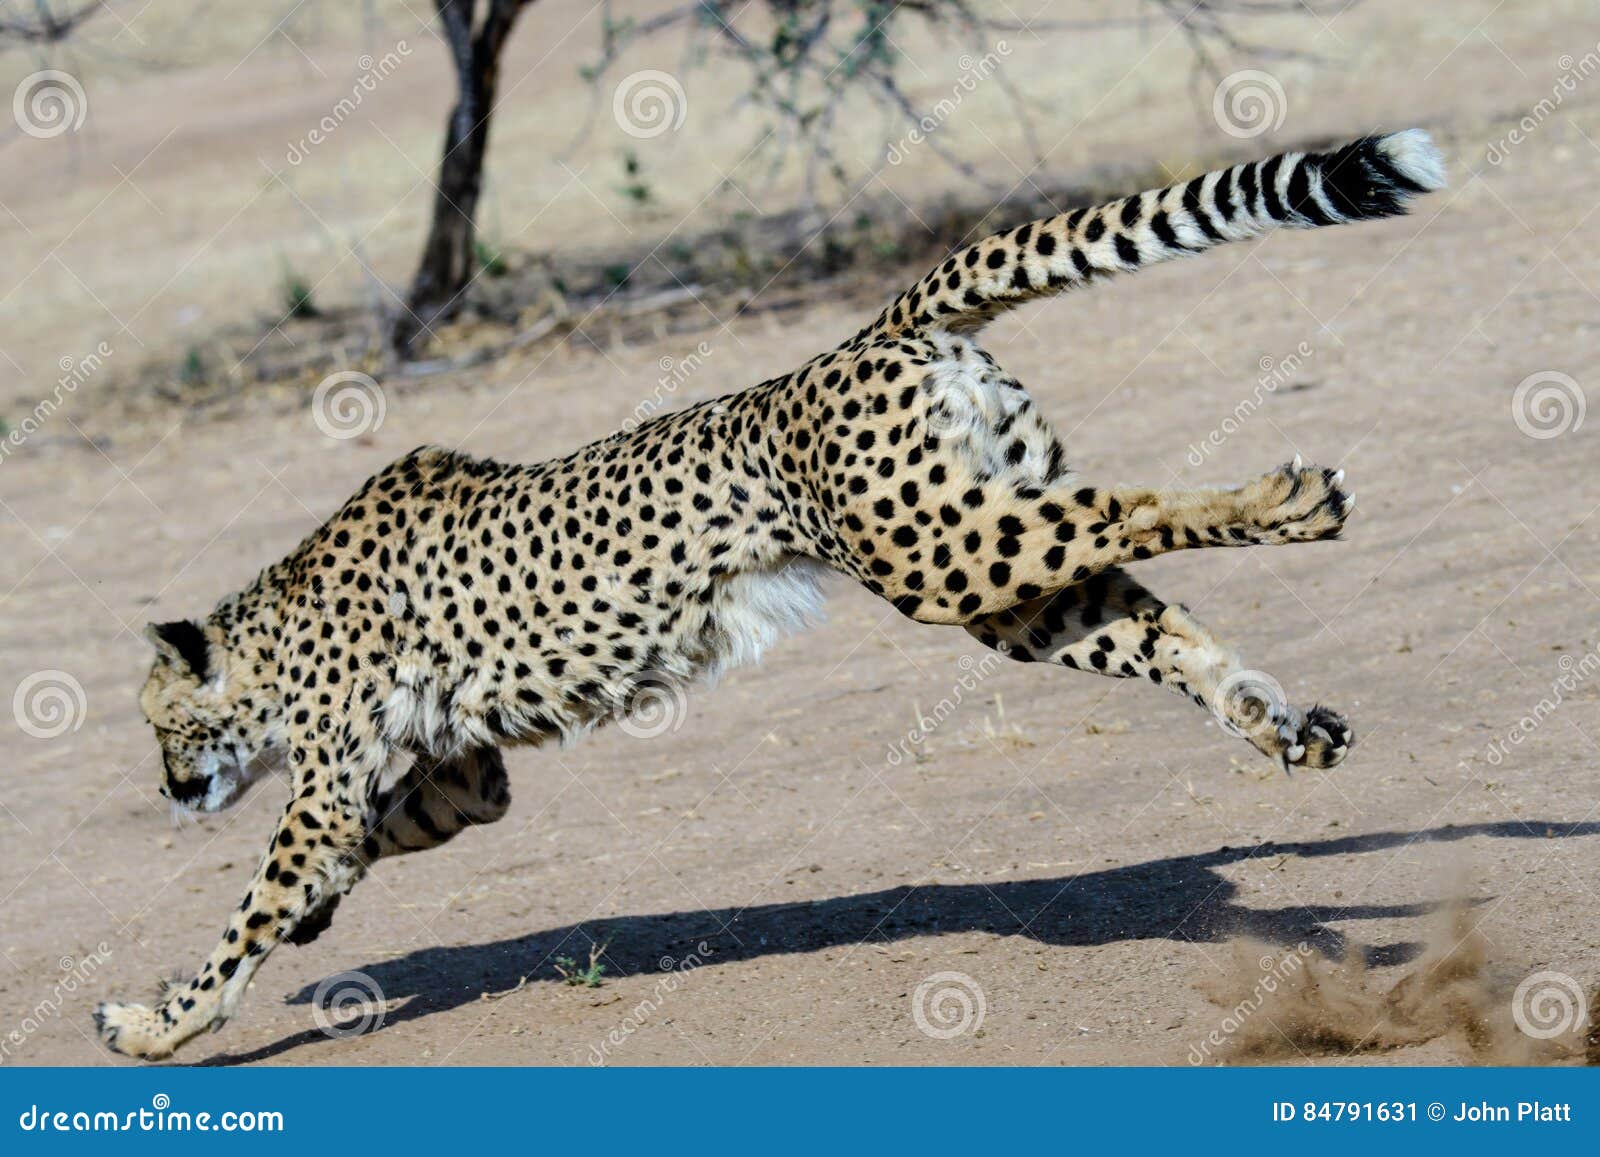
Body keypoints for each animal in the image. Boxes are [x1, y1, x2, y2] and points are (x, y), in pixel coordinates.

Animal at [95, 130, 1444, 1059]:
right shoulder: (466, 775)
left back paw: (1288, 501)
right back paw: (1278, 718)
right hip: (993, 575)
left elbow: (254, 908)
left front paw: (160, 1022)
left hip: (947, 552)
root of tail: (862, 335)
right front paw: (307, 930)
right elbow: (376, 837)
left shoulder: (328, 785)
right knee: (1137, 602)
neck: (270, 632)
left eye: (161, 726)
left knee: (1141, 503)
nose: (168, 789)